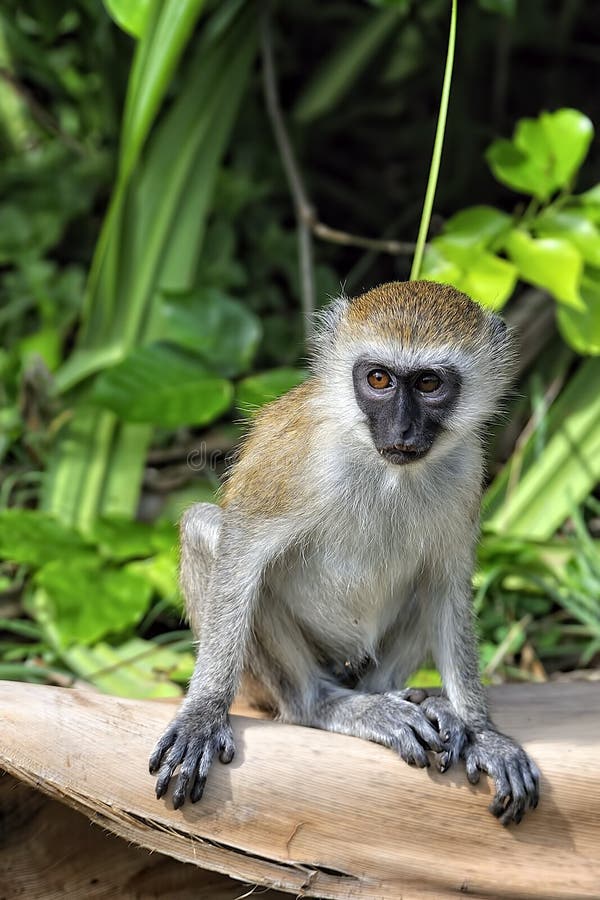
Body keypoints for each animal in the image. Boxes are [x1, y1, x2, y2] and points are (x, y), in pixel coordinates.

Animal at [149, 280, 540, 825]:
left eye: (428, 384)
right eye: (378, 379)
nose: (401, 431)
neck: (385, 469)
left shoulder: (466, 469)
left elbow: (448, 585)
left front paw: (483, 730)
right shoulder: (295, 460)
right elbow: (242, 552)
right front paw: (202, 713)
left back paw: (416, 703)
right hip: (264, 684)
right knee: (208, 529)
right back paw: (327, 705)